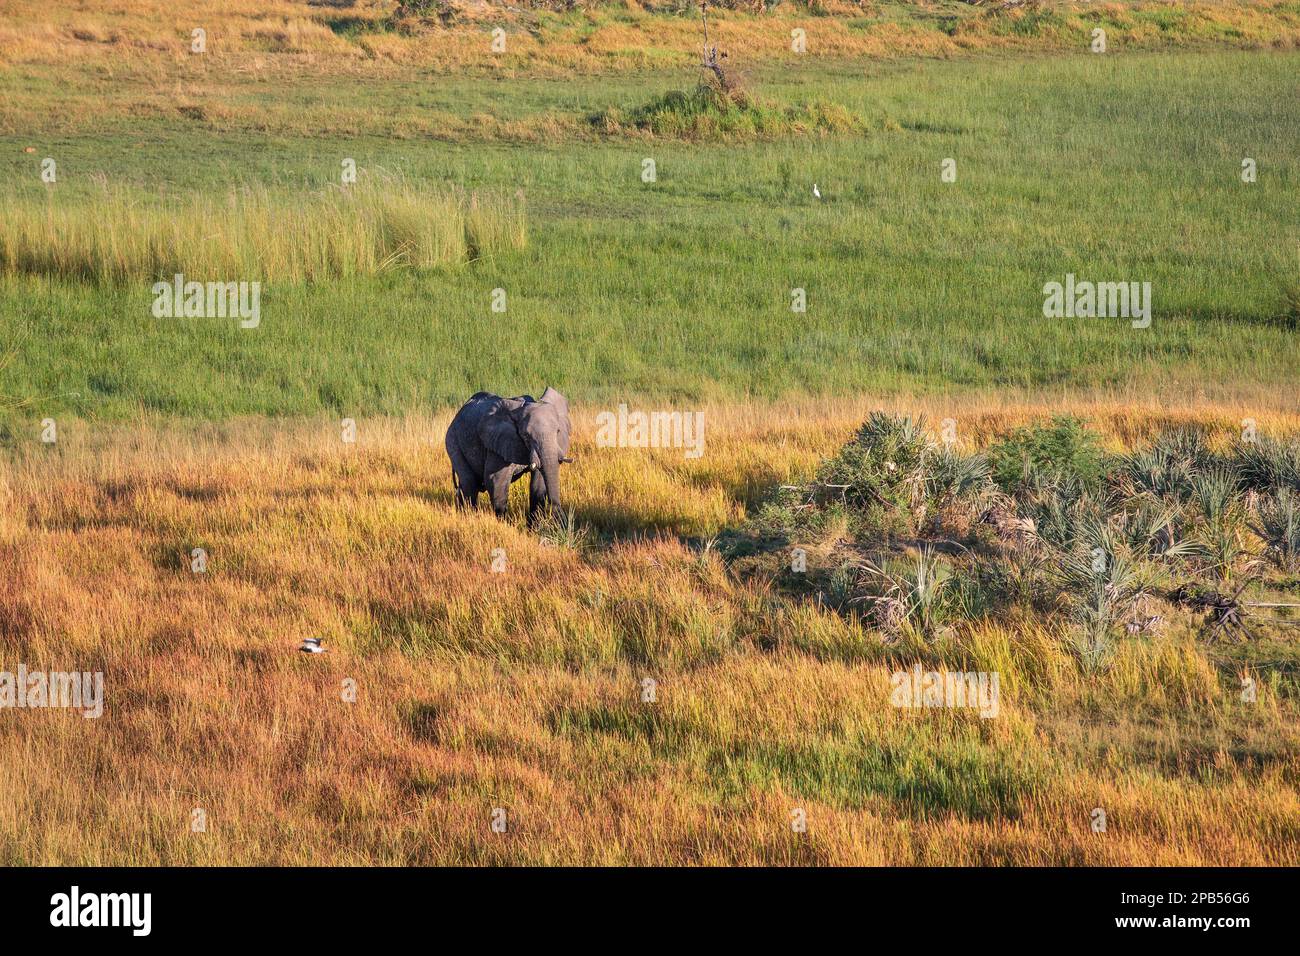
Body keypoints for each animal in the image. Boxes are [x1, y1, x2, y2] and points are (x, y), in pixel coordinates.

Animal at [444, 387, 573, 526]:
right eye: (526, 435)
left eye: (558, 431)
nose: (562, 522)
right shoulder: (498, 443)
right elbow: (495, 479)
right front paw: (505, 525)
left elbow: (538, 483)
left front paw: (533, 528)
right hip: (453, 441)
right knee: (469, 483)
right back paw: (470, 518)